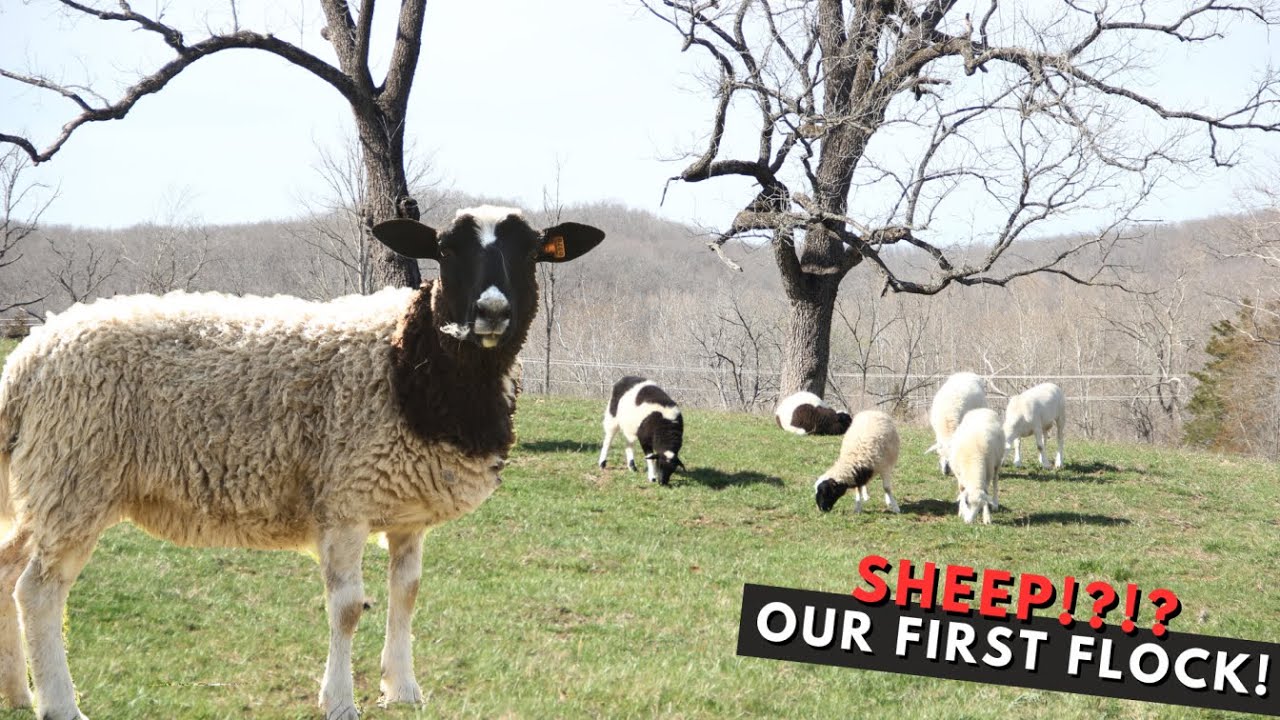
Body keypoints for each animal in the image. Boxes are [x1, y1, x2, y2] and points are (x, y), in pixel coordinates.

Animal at [0, 205, 604, 720]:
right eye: (445, 250)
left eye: (532, 253)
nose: (492, 312)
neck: (410, 361)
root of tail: (28, 357)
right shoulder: (345, 500)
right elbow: (348, 607)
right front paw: (339, 701)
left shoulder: (407, 510)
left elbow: (406, 594)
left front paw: (403, 689)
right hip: (74, 477)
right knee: (39, 591)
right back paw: (58, 703)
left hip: (43, 483)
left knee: (8, 568)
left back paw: (17, 691)